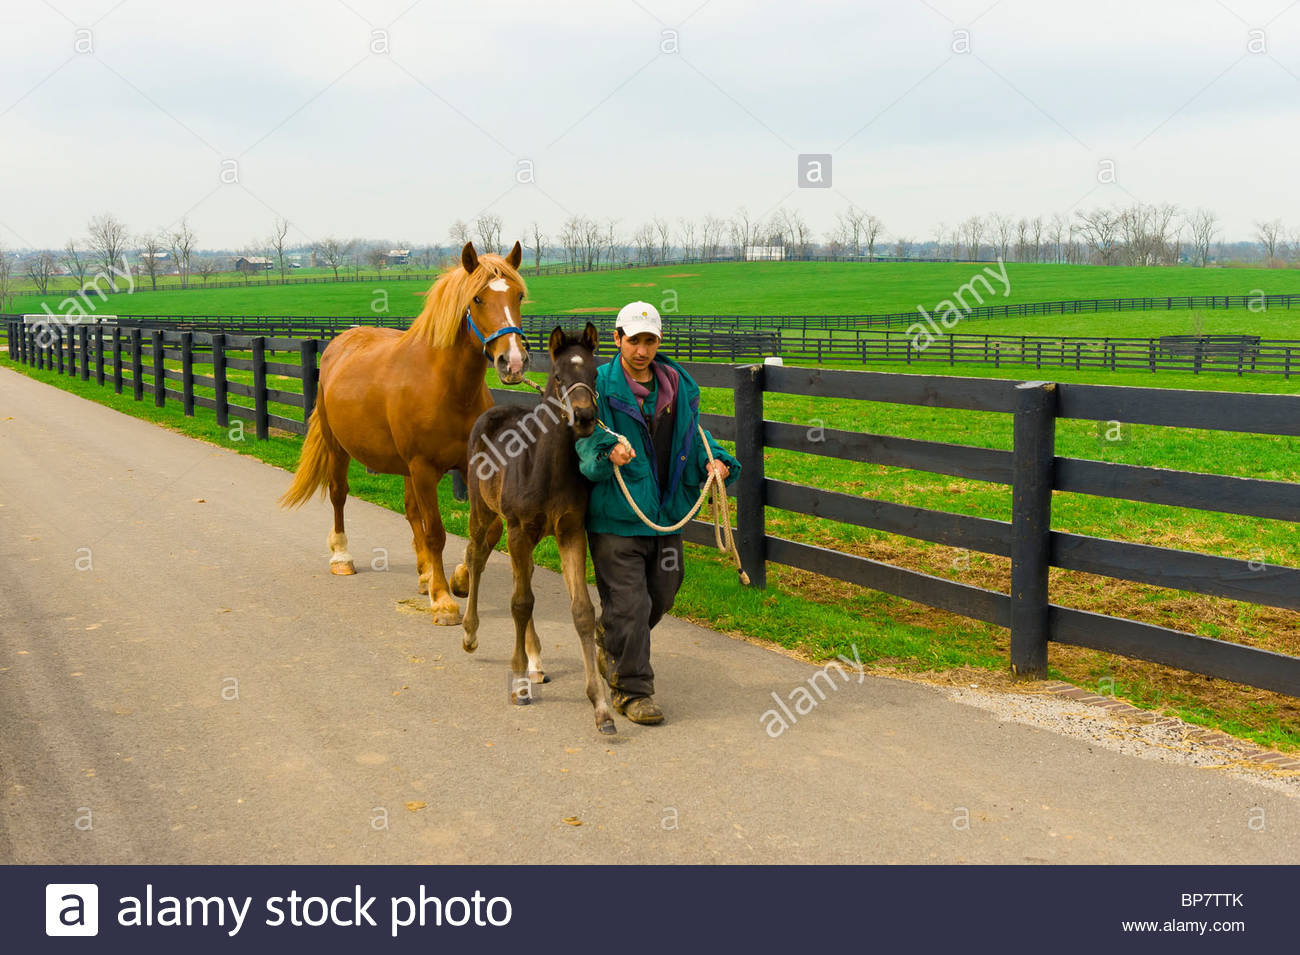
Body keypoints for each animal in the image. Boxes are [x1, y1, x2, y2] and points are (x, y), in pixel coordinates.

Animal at [279, 241, 530, 626]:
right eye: (477, 299)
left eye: (518, 295)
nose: (513, 362)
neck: (446, 386)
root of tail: (342, 340)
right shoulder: (424, 468)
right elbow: (436, 532)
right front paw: (443, 600)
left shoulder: (470, 465)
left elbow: (487, 531)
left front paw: (459, 578)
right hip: (340, 450)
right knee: (339, 495)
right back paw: (342, 557)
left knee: (412, 513)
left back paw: (425, 573)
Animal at [455, 322, 617, 735]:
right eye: (558, 376)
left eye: (594, 375)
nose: (585, 417)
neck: (546, 466)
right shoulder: (518, 530)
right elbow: (519, 603)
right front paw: (519, 684)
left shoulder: (570, 532)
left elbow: (581, 610)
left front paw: (601, 707)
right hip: (485, 513)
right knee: (476, 557)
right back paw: (470, 633)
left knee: (522, 575)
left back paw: (537, 661)